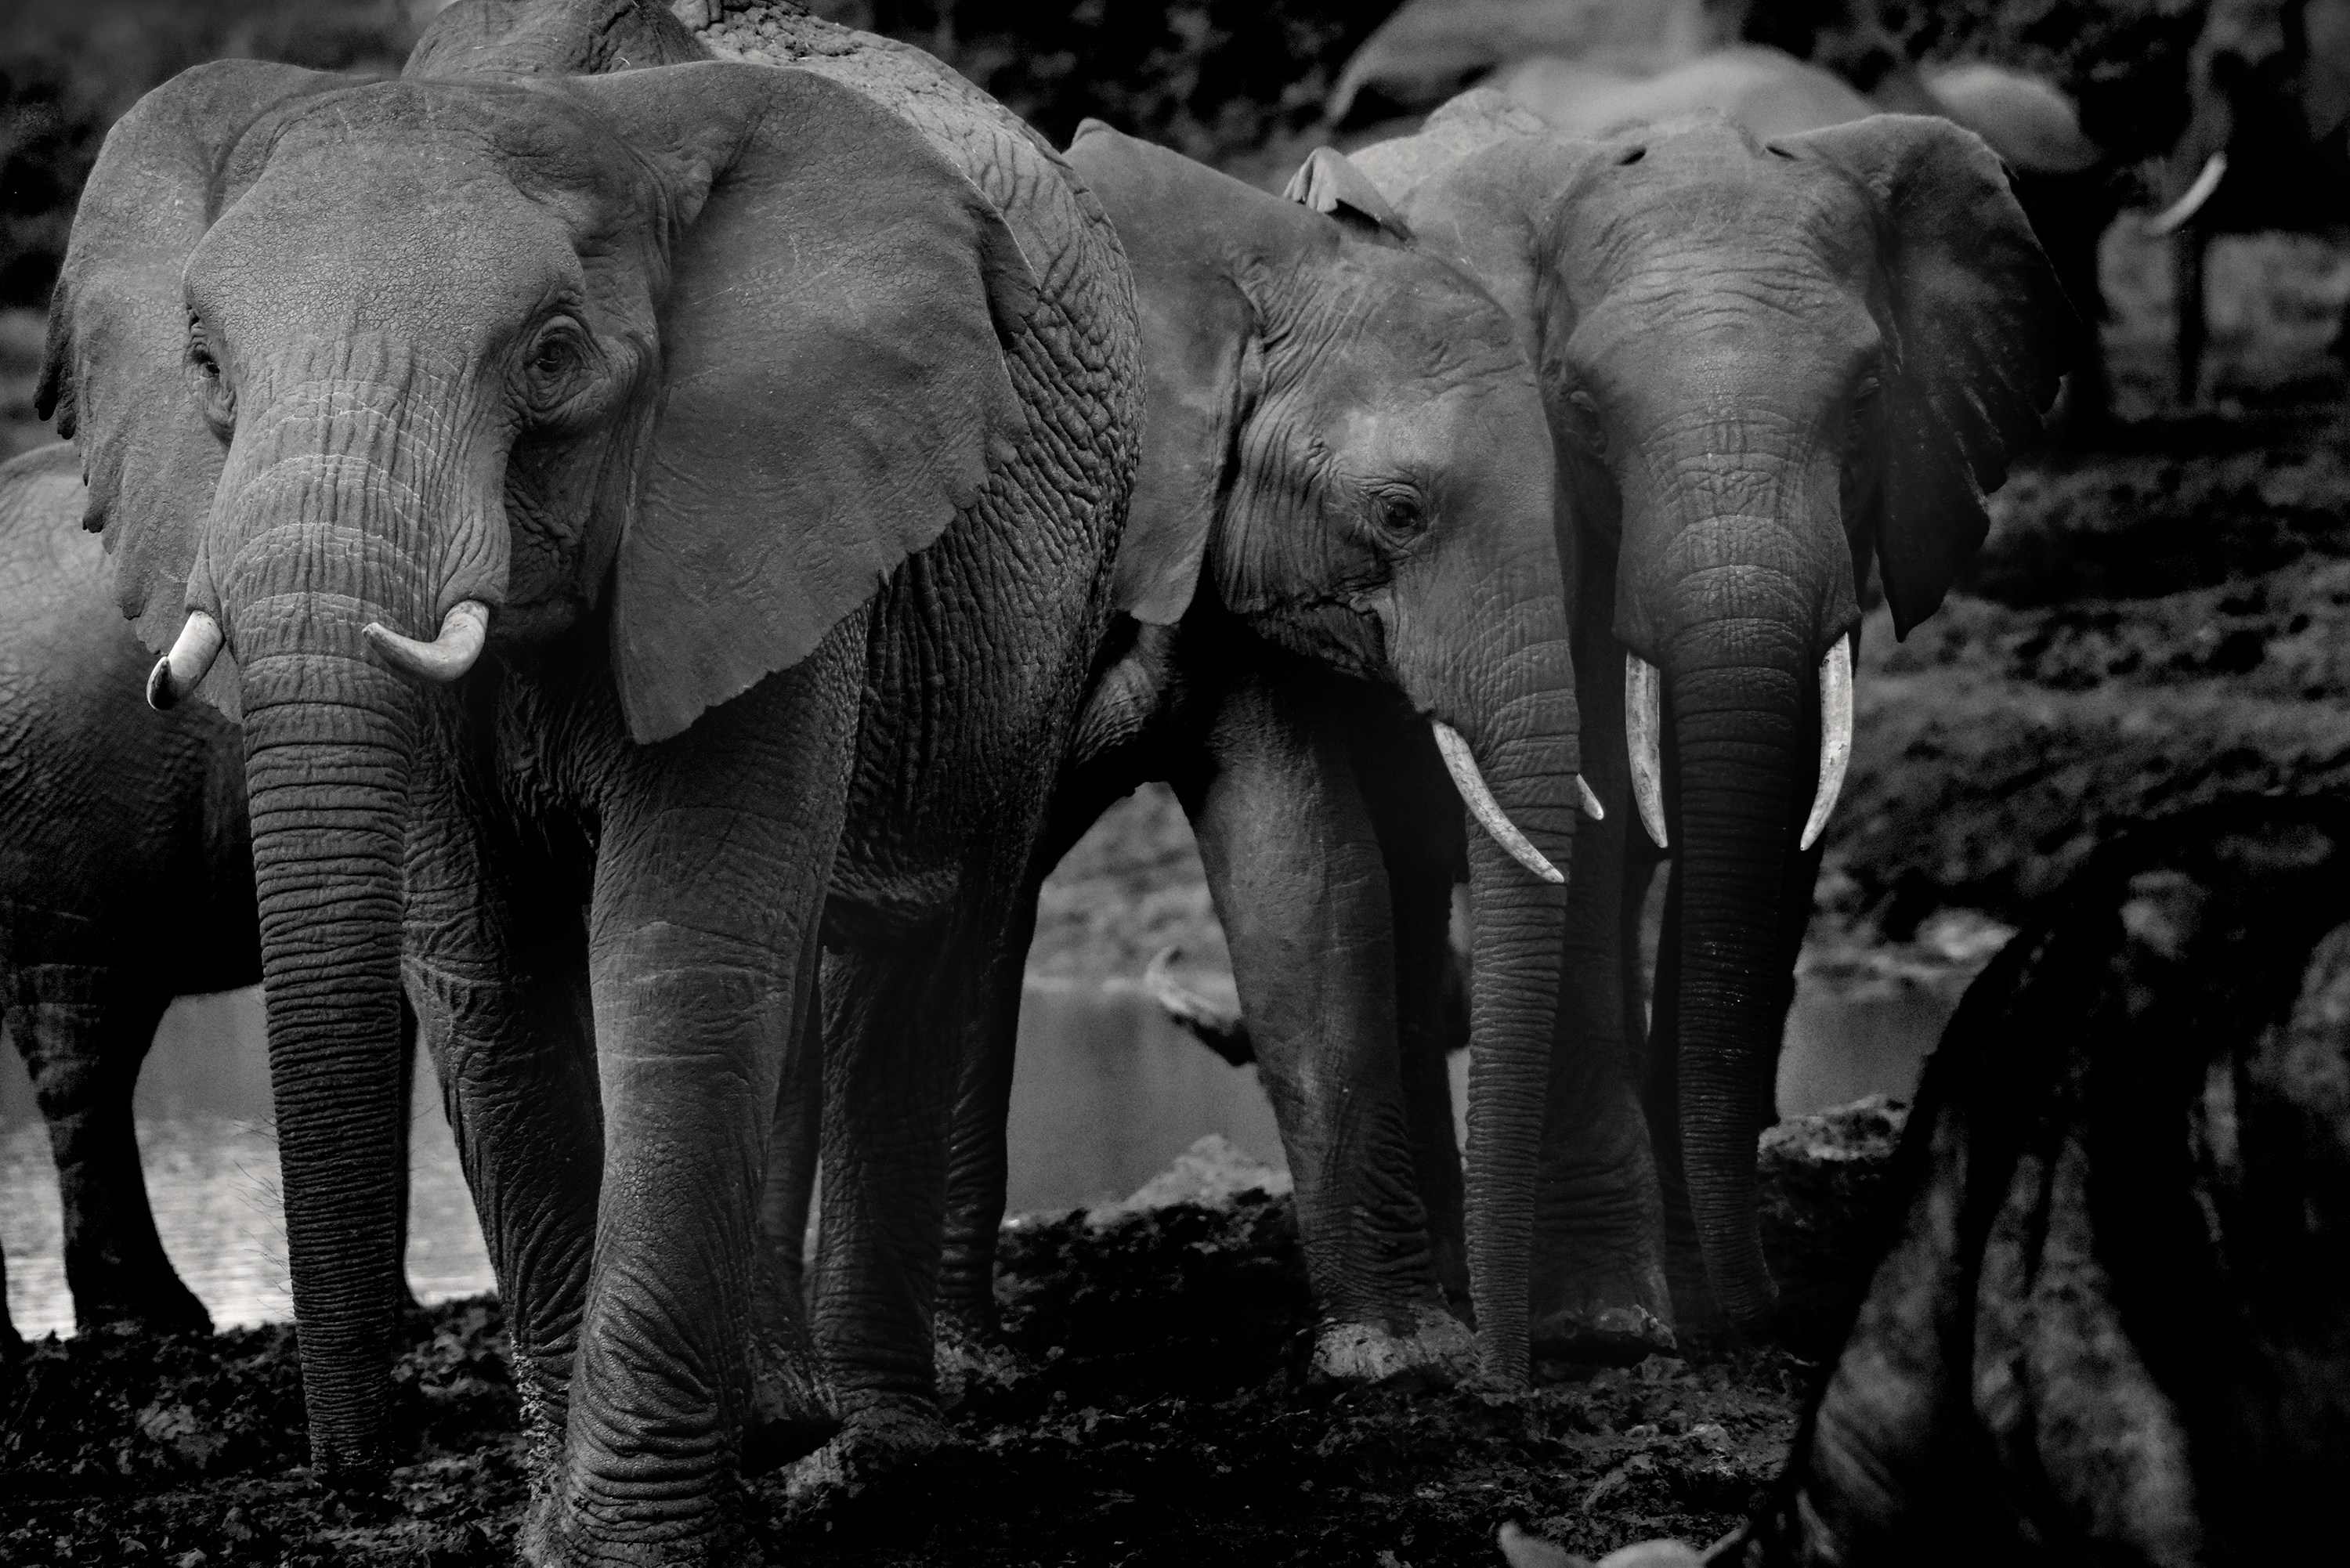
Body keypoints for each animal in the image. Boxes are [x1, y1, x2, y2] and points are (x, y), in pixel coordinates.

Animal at [40, 0, 1145, 1556]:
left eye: (552, 358)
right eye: (202, 365)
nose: (353, 1474)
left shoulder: (762, 486)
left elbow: (677, 950)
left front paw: (623, 1543)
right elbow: (489, 969)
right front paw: (557, 1526)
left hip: (1050, 588)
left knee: (923, 925)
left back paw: (875, 1456)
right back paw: (784, 1416)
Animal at [1310, 94, 2071, 1343]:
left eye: (1871, 397)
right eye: (1578, 406)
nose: (1773, 1313)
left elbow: (1777, 793)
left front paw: (1687, 1293)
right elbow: (1596, 807)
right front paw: (1608, 1323)